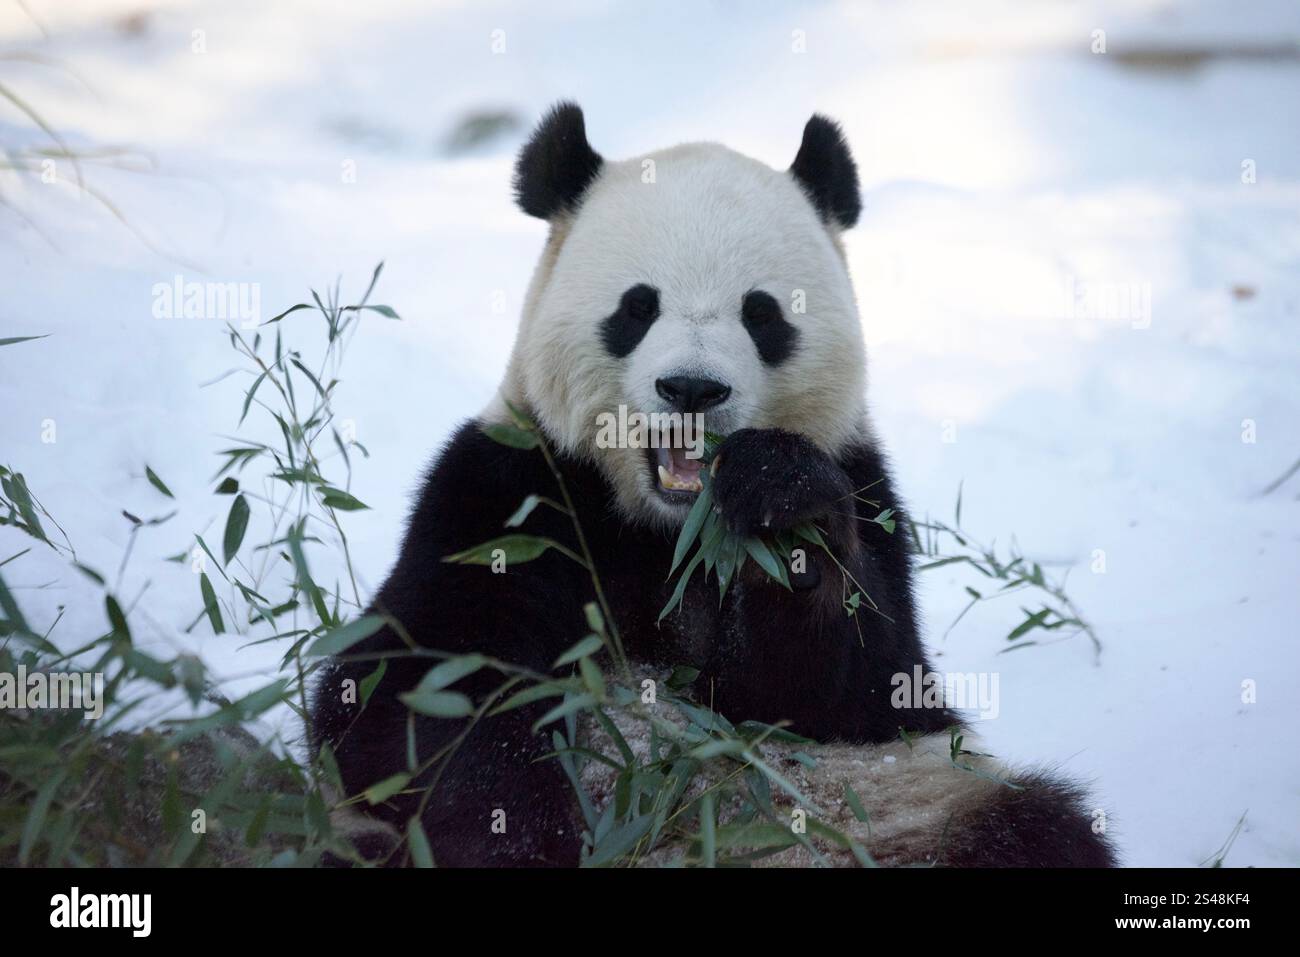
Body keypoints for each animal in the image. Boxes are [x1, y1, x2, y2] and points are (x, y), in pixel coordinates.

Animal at [310, 102, 1116, 868]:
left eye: (762, 314)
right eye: (637, 307)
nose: (692, 388)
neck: (662, 527)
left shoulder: (866, 493)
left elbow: (855, 689)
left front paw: (779, 502)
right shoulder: (505, 496)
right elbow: (414, 690)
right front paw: (522, 838)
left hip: (912, 805)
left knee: (1037, 827)